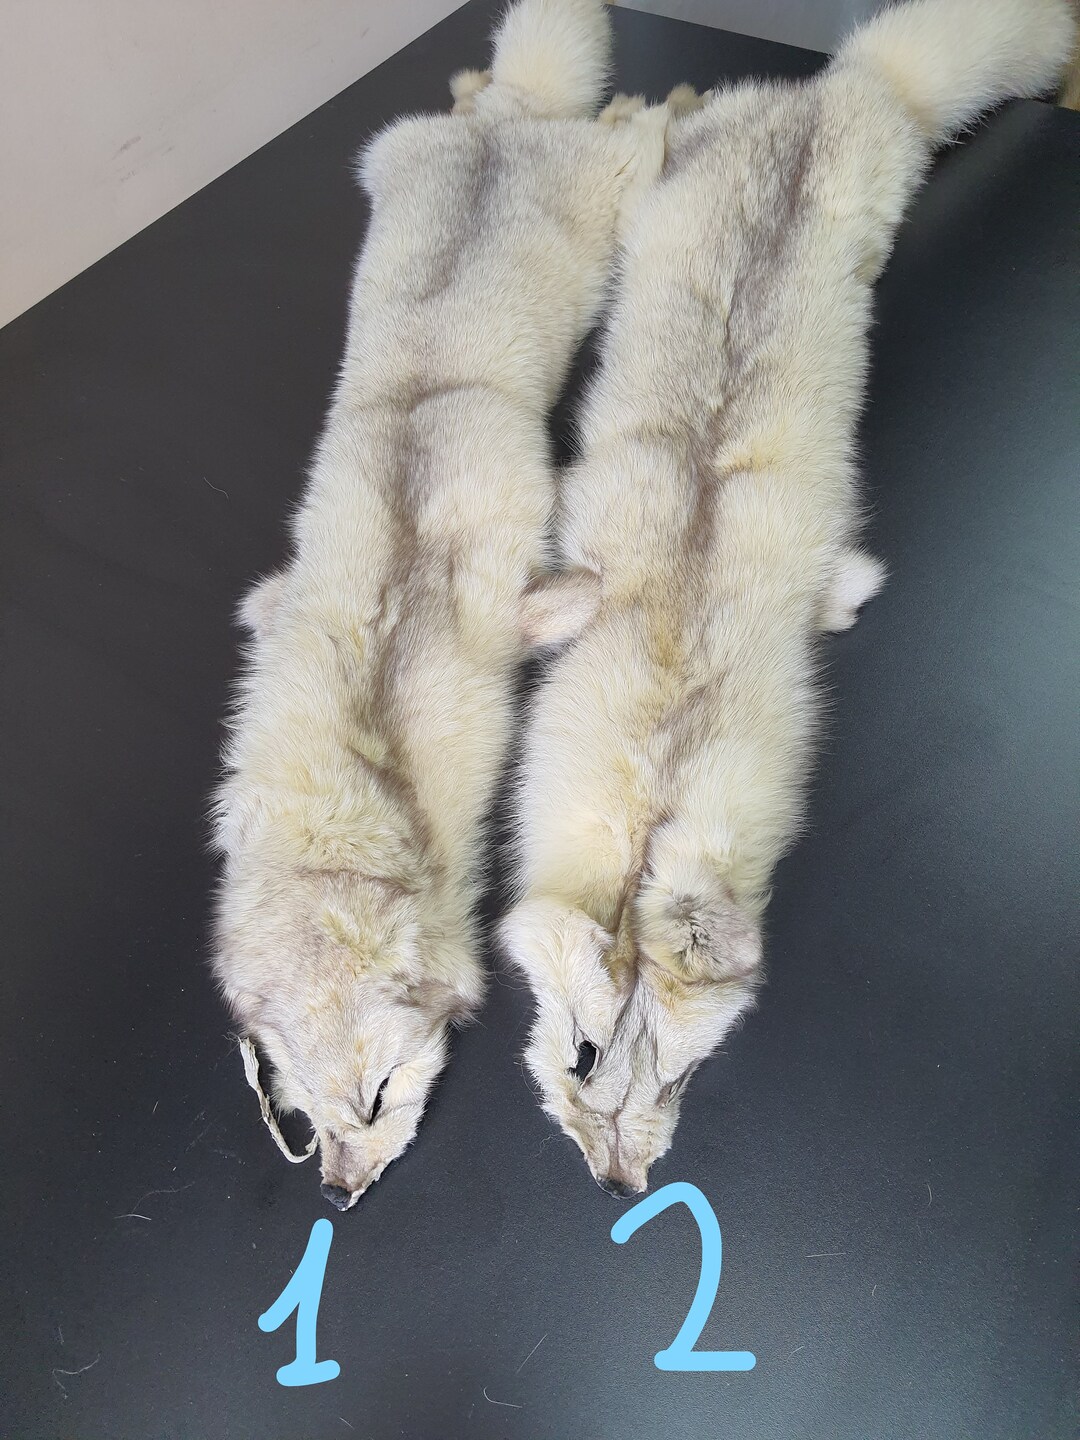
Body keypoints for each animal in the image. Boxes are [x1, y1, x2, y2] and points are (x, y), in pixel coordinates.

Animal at [211, 0, 688, 1209]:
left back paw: (654, 101)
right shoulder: (279, 604)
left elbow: (559, 602)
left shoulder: (509, 614)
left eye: (379, 1098)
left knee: (637, 136)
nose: (338, 1196)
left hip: (615, 188)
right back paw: (493, 87)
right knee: (493, 99)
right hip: (398, 156)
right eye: (298, 1110)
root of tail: (507, 134)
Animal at [500, 0, 1077, 1197]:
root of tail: (836, 89)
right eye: (584, 1061)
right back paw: (658, 108)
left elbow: (845, 592)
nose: (618, 1190)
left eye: (680, 1077)